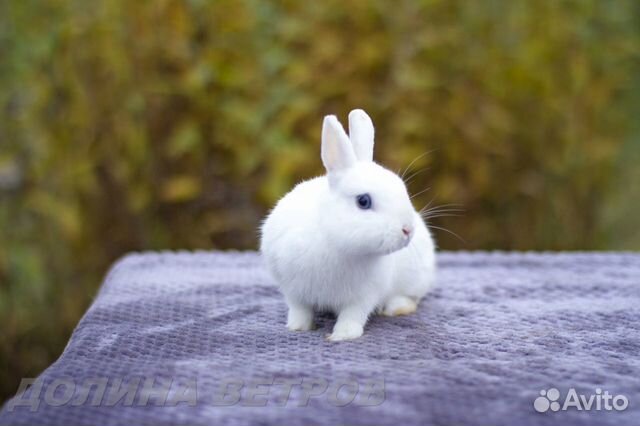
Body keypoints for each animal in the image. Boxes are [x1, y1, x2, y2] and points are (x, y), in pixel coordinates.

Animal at [260, 109, 436, 341]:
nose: (407, 229)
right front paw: (298, 327)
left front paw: (342, 335)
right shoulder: (293, 289)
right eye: (363, 201)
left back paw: (395, 308)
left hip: (415, 278)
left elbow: (353, 316)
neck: (335, 243)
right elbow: (300, 310)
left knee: (410, 298)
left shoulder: (363, 296)